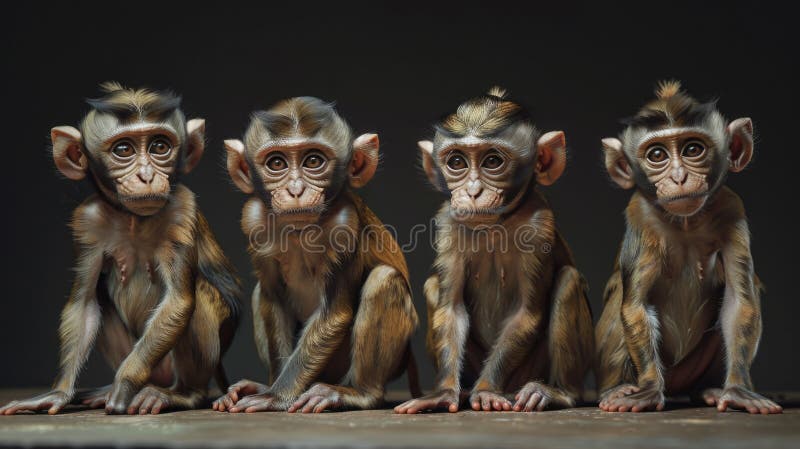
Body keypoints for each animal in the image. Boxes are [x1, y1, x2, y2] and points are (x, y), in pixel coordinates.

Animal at [0, 82, 240, 416]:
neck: (133, 219)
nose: (147, 176)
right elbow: (84, 302)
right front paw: (58, 393)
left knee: (199, 297)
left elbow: (178, 302)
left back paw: (181, 394)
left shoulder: (183, 209)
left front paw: (124, 385)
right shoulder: (87, 221)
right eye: (123, 150)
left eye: (160, 147)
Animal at [212, 96, 419, 413]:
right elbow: (272, 297)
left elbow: (334, 314)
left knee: (384, 280)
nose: (296, 190)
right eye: (276, 163)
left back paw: (358, 393)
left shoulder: (344, 225)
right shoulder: (254, 220)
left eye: (313, 161)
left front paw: (275, 396)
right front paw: (270, 389)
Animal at [394, 87, 594, 414]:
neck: (498, 224)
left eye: (492, 161)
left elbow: (526, 313)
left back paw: (557, 392)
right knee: (433, 285)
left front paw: (486, 390)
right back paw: (464, 390)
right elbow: (451, 308)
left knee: (567, 282)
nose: (473, 192)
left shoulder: (539, 225)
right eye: (457, 162)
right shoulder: (449, 222)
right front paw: (443, 393)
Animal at [594, 81, 781, 414]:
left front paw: (738, 390)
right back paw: (617, 389)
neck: (686, 223)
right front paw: (648, 390)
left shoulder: (731, 207)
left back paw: (709, 390)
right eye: (657, 155)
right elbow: (634, 305)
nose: (679, 177)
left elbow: (739, 302)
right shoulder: (640, 214)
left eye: (693, 149)